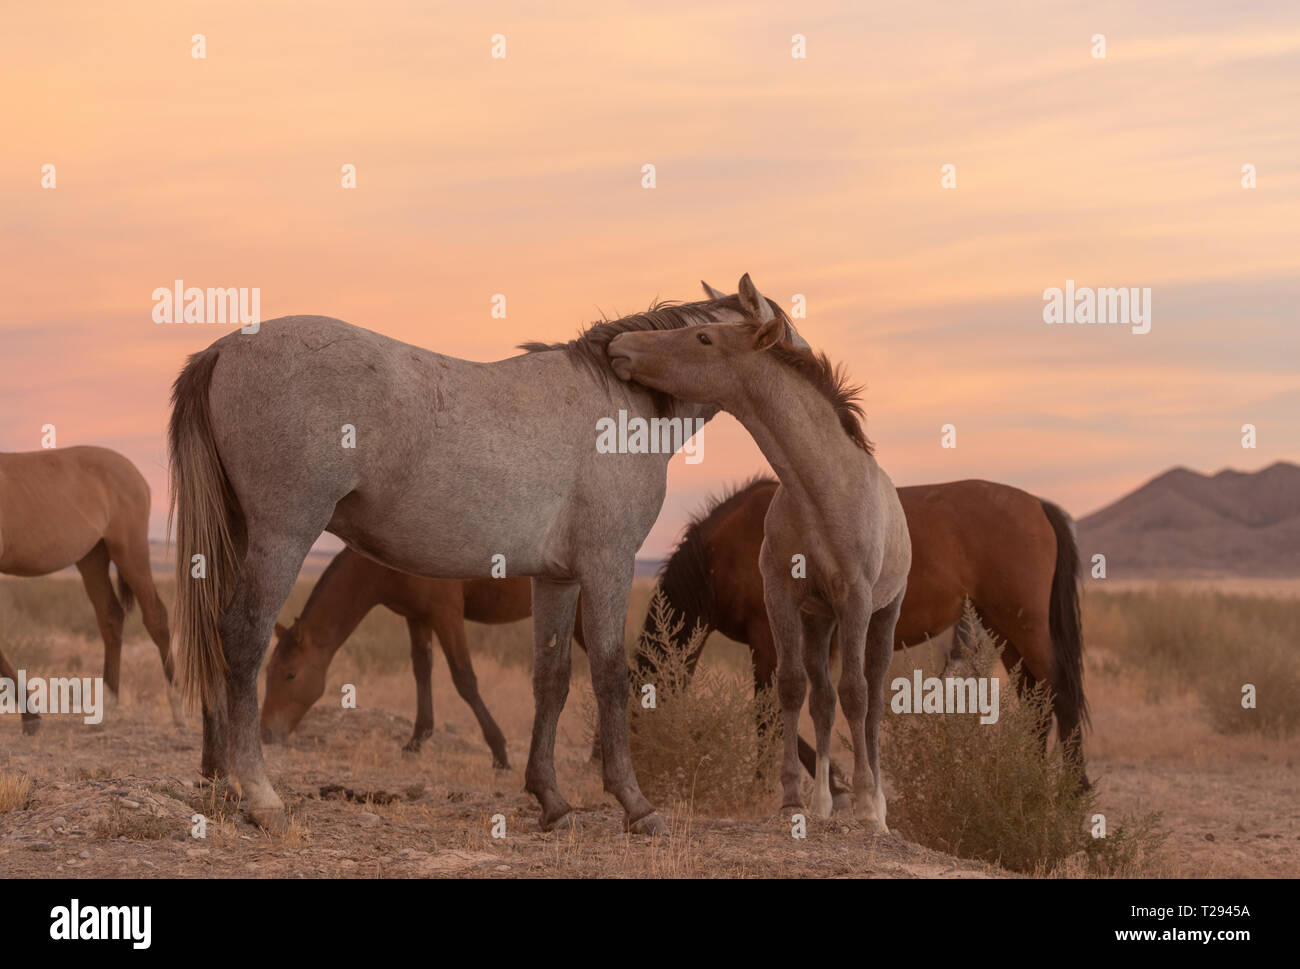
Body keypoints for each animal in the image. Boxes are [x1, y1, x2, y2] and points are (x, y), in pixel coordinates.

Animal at [0, 446, 181, 732]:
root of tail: (134, 472)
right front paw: (30, 715)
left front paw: (31, 716)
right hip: (93, 557)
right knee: (111, 616)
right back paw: (110, 705)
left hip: (129, 549)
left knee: (155, 616)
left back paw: (177, 708)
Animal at [261, 546, 583, 764]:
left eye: (291, 674)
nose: (266, 733)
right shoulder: (417, 618)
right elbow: (422, 669)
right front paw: (417, 740)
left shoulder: (447, 615)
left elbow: (464, 678)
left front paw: (499, 751)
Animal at [608, 274, 912, 830]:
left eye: (705, 338)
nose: (621, 345)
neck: (819, 490)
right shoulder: (781, 600)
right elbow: (790, 690)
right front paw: (793, 799)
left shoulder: (857, 602)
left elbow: (857, 694)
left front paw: (865, 807)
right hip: (819, 620)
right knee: (822, 697)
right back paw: (824, 804)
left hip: (883, 614)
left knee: (873, 695)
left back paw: (874, 803)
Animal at [633, 475, 1089, 800]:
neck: (724, 550)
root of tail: (1037, 505)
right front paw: (832, 781)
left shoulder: (768, 642)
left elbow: (767, 715)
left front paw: (769, 786)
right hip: (1004, 629)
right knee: (1036, 704)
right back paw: (1031, 783)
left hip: (1025, 627)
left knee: (1060, 695)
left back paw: (1074, 792)